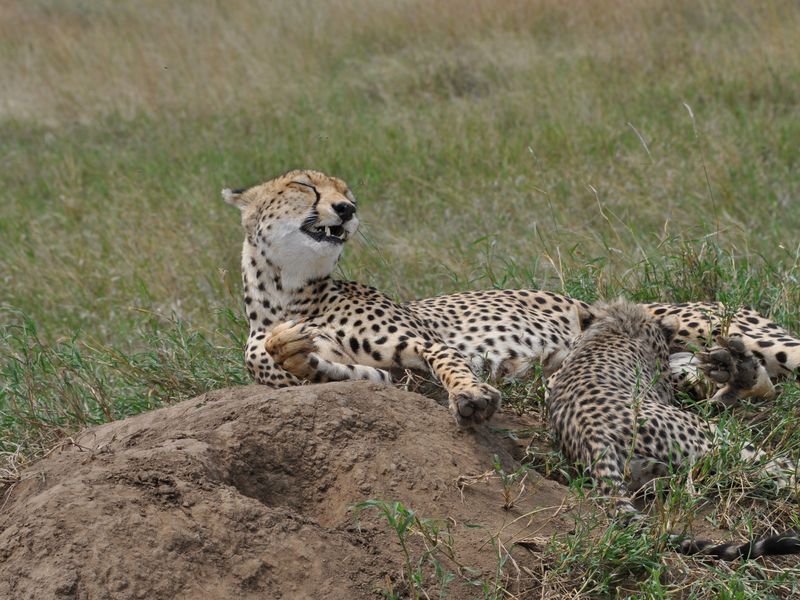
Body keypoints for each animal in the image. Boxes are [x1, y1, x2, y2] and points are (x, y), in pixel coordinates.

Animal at [222, 169, 800, 428]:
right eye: (304, 185)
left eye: (345, 190)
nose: (348, 208)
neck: (289, 292)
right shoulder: (391, 379)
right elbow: (309, 366)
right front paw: (294, 353)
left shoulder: (426, 343)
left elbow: (451, 363)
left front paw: (471, 395)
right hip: (677, 365)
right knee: (753, 386)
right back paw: (734, 374)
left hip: (713, 325)